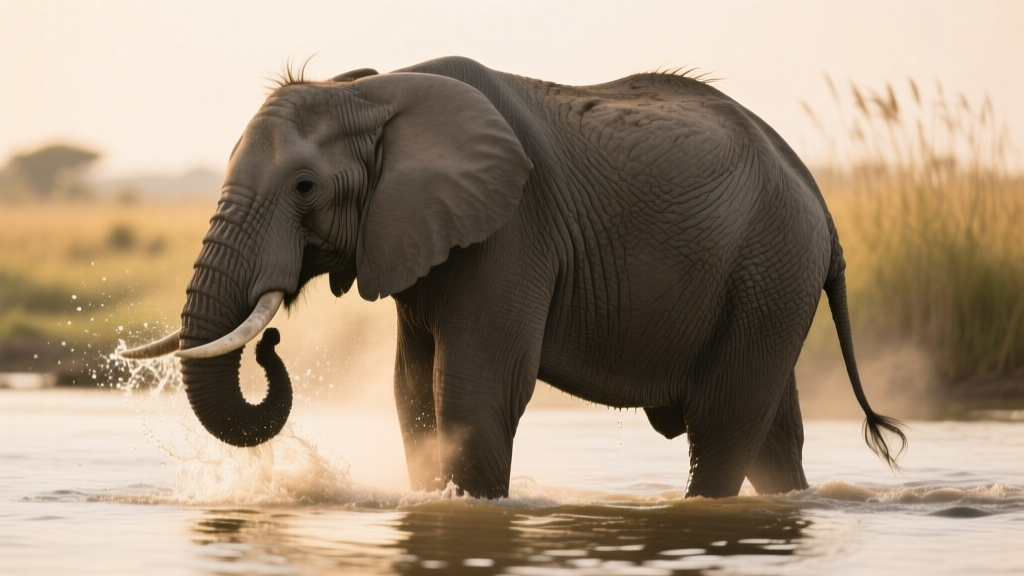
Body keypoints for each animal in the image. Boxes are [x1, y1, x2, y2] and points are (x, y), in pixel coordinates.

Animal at [123, 56, 906, 498]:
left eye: (305, 187)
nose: (272, 341)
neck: (375, 91)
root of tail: (821, 202)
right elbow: (413, 394)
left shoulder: (510, 232)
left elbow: (476, 393)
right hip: (770, 282)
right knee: (774, 433)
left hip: (771, 265)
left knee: (723, 424)